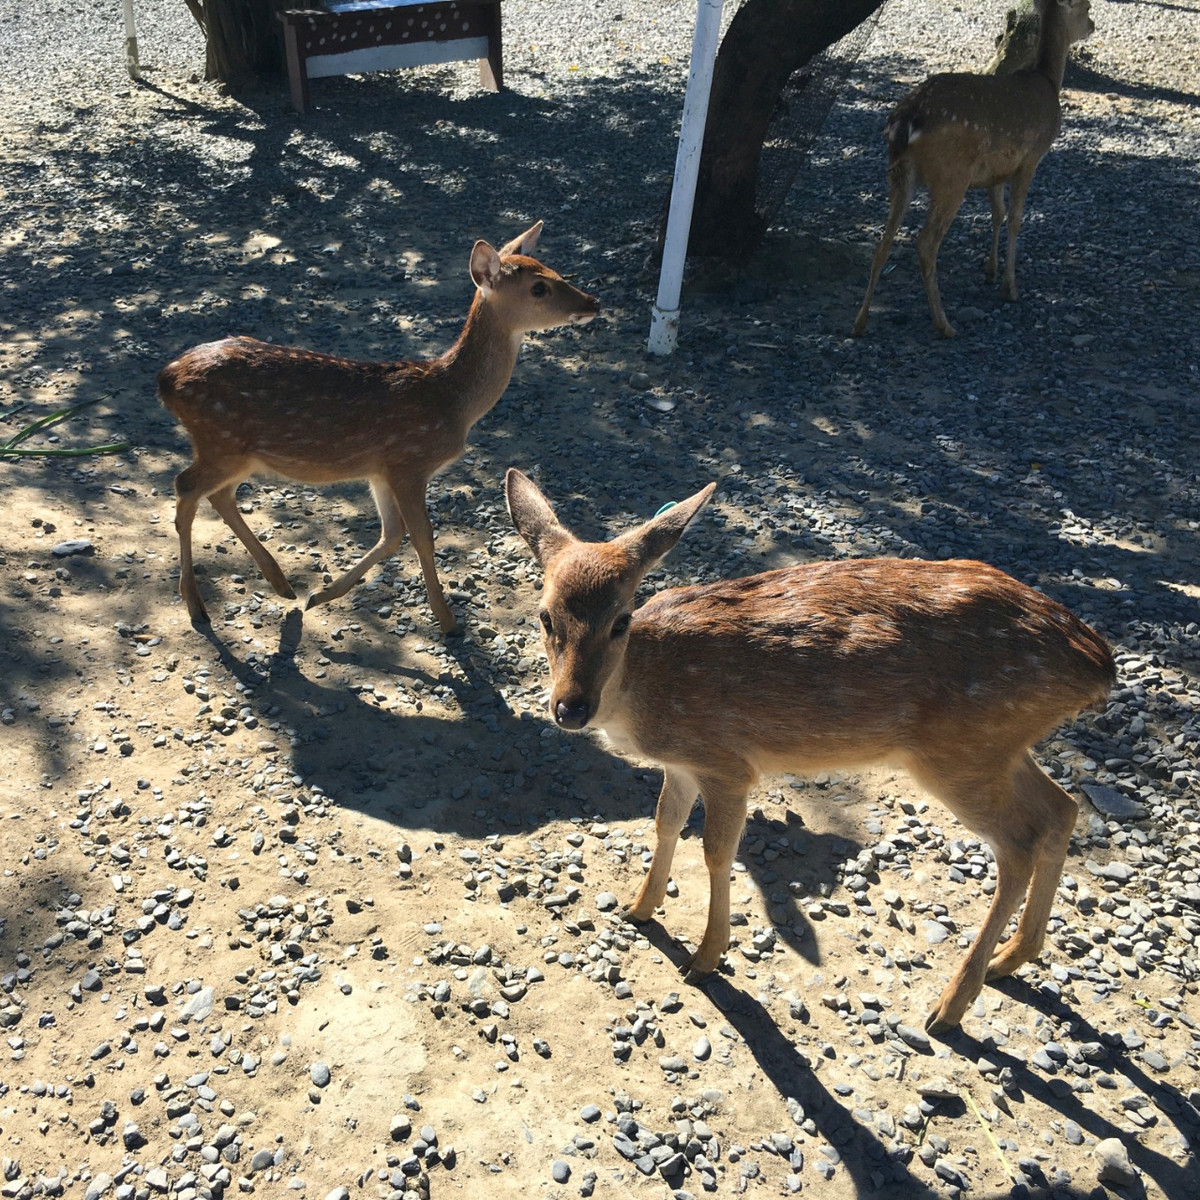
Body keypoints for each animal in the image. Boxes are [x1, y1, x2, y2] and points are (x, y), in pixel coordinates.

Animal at [159, 222, 600, 632]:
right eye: (538, 287)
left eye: (555, 270)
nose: (593, 301)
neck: (451, 401)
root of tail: (167, 379)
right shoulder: (409, 460)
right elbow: (421, 534)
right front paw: (448, 620)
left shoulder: (380, 470)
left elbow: (391, 535)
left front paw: (320, 595)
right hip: (221, 441)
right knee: (186, 487)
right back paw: (196, 604)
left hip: (239, 452)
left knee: (219, 494)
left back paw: (281, 583)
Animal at [505, 469, 1115, 1032]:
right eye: (544, 616)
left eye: (621, 620)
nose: (570, 707)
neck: (644, 694)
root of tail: (1096, 664)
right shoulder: (681, 765)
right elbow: (664, 823)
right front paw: (638, 908)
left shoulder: (726, 761)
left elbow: (717, 852)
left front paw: (705, 958)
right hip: (1000, 747)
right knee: (1061, 809)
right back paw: (1011, 959)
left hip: (960, 751)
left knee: (1018, 843)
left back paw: (949, 1006)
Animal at [851, 0, 1094, 338]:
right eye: (1086, 7)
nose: (1093, 25)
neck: (1047, 80)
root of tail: (905, 122)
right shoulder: (1030, 158)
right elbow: (1016, 219)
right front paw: (1010, 287)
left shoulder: (997, 171)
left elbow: (997, 213)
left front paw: (990, 271)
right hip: (952, 176)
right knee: (925, 242)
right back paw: (944, 325)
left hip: (900, 174)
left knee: (883, 240)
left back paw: (859, 323)